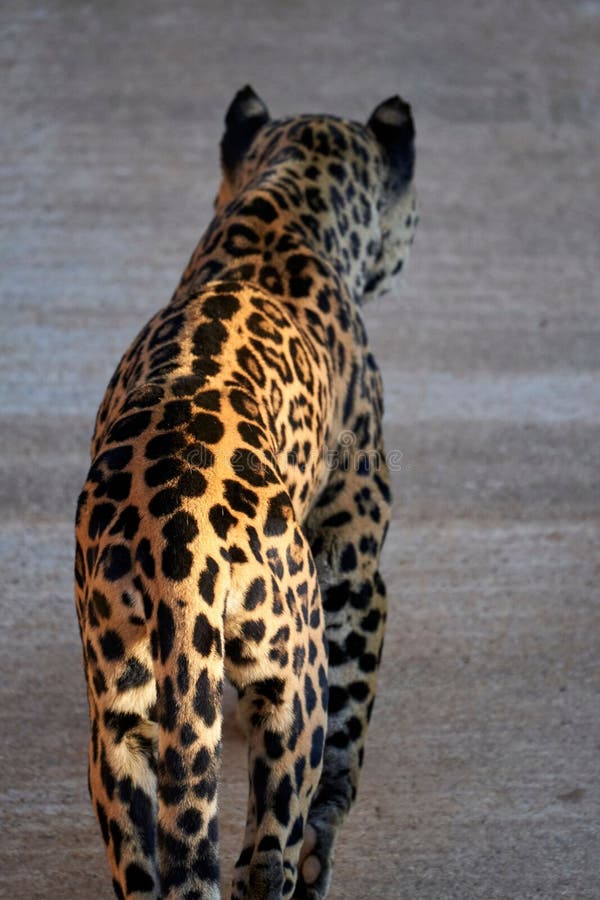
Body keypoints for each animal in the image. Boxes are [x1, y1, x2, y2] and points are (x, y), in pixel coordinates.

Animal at [74, 85, 417, 900]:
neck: (288, 196)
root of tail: (177, 546)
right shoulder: (354, 563)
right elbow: (347, 739)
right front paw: (330, 826)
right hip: (292, 673)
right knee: (268, 844)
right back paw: (295, 866)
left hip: (116, 710)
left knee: (143, 856)